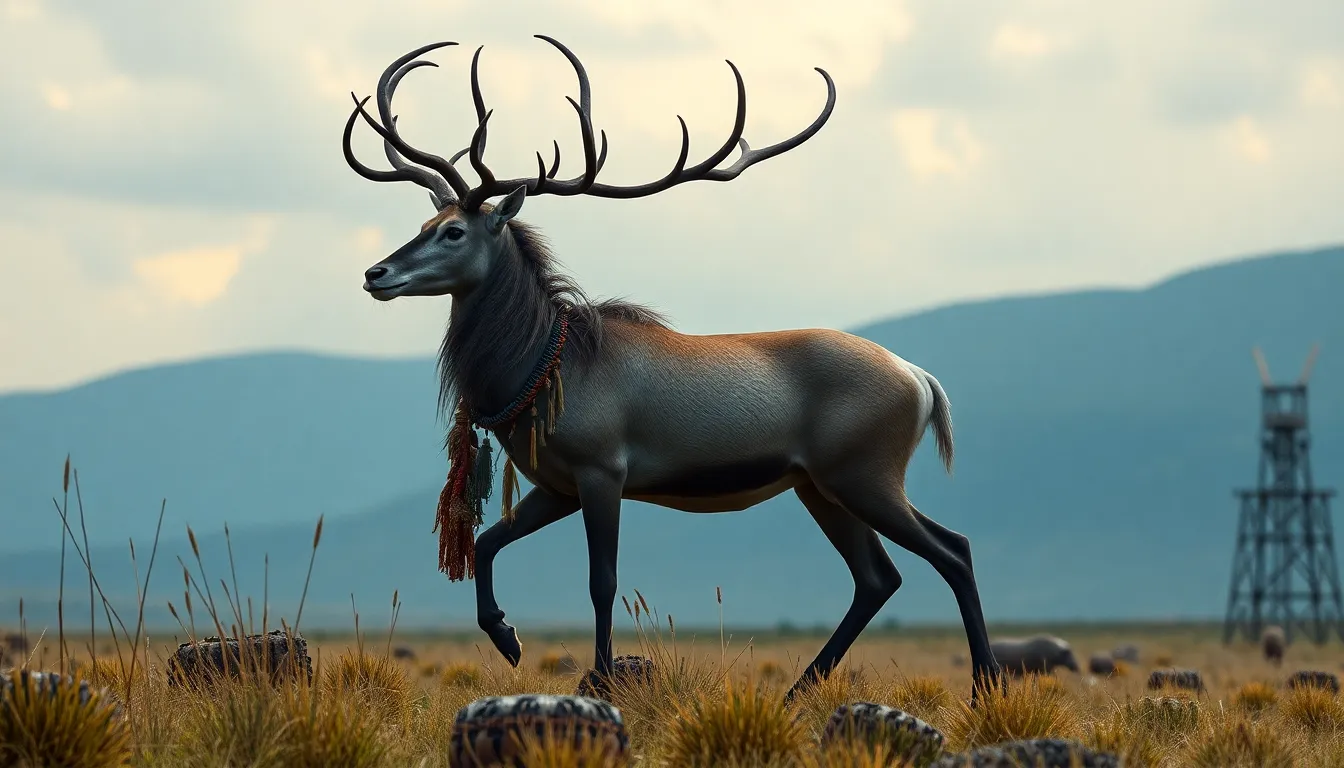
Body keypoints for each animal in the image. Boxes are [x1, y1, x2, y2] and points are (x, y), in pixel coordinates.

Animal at [342, 36, 1002, 700]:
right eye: (423, 224)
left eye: (453, 231)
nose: (376, 273)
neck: (540, 367)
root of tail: (922, 382)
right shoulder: (556, 486)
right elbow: (485, 540)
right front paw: (507, 638)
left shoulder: (602, 471)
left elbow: (602, 582)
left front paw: (601, 679)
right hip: (819, 484)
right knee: (878, 577)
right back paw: (798, 693)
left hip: (865, 474)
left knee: (952, 550)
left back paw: (982, 687)